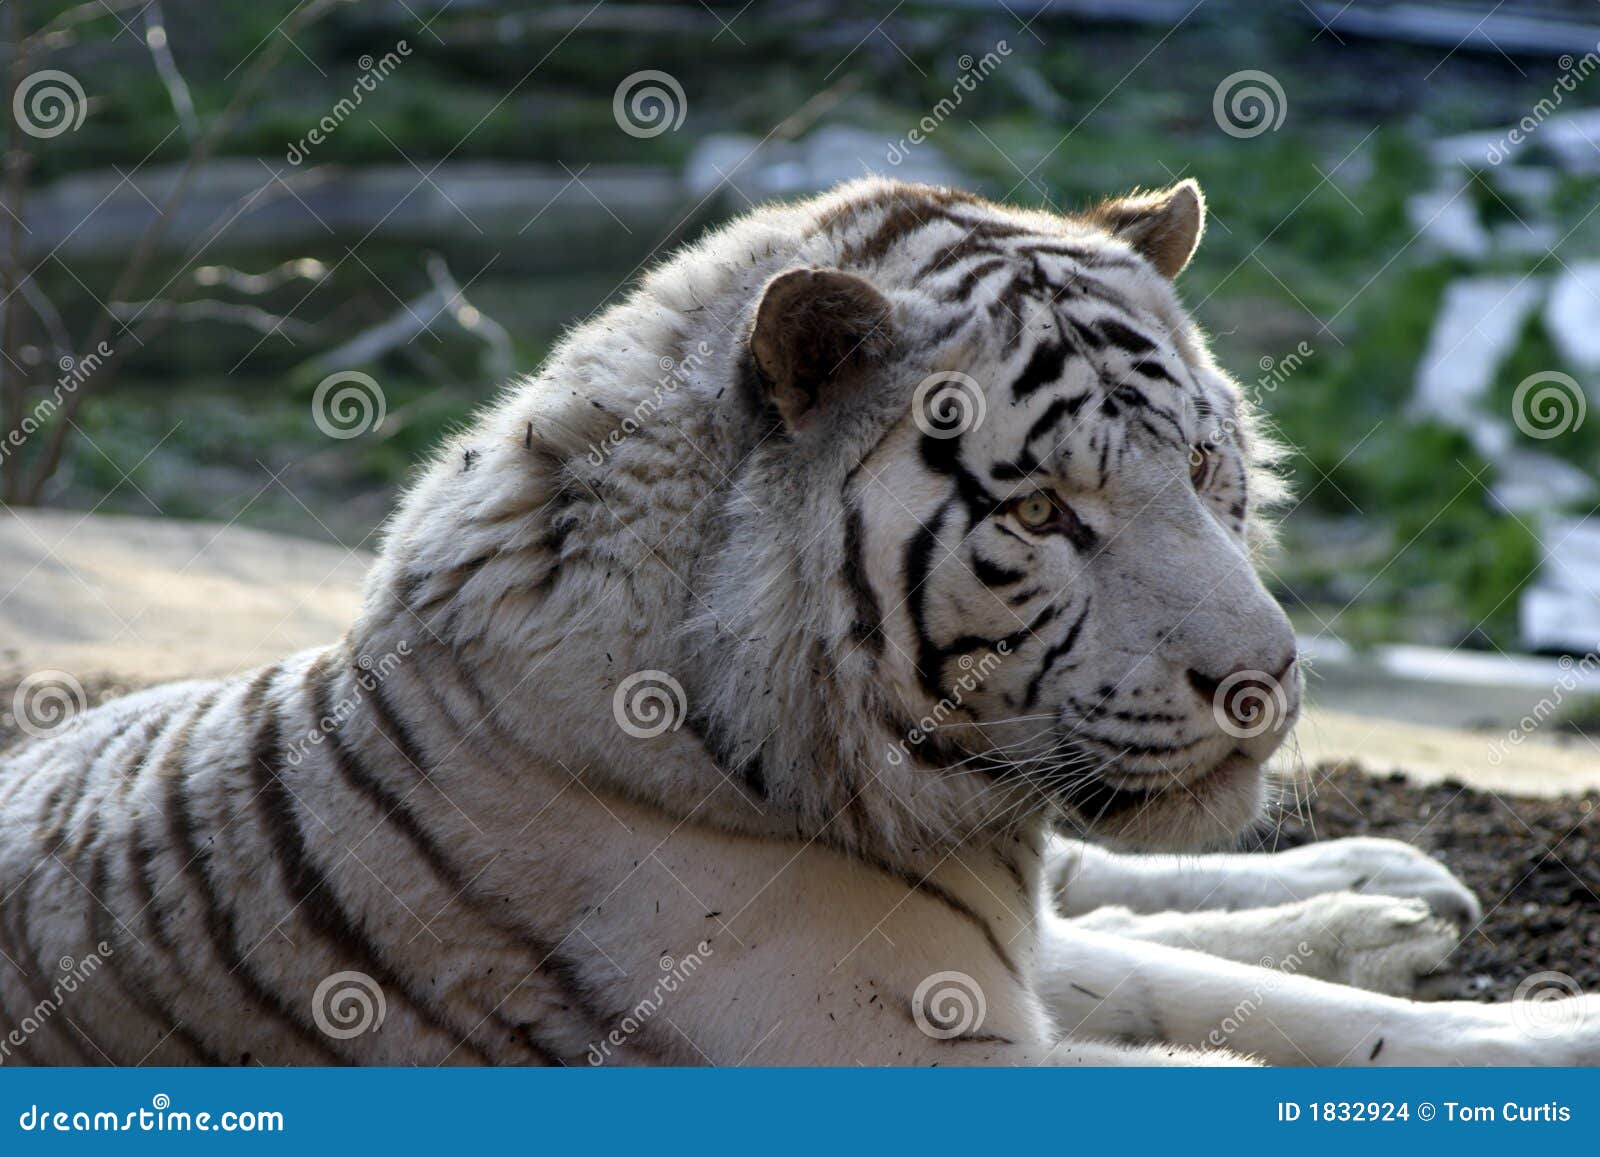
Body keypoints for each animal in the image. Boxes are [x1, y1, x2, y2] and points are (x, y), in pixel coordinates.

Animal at [1, 177, 1595, 1066]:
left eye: (1207, 467)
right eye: (1038, 513)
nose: (1265, 680)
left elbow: (1308, 1025)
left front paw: (1538, 1024)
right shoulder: (923, 1038)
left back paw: (1389, 895)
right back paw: (1390, 904)